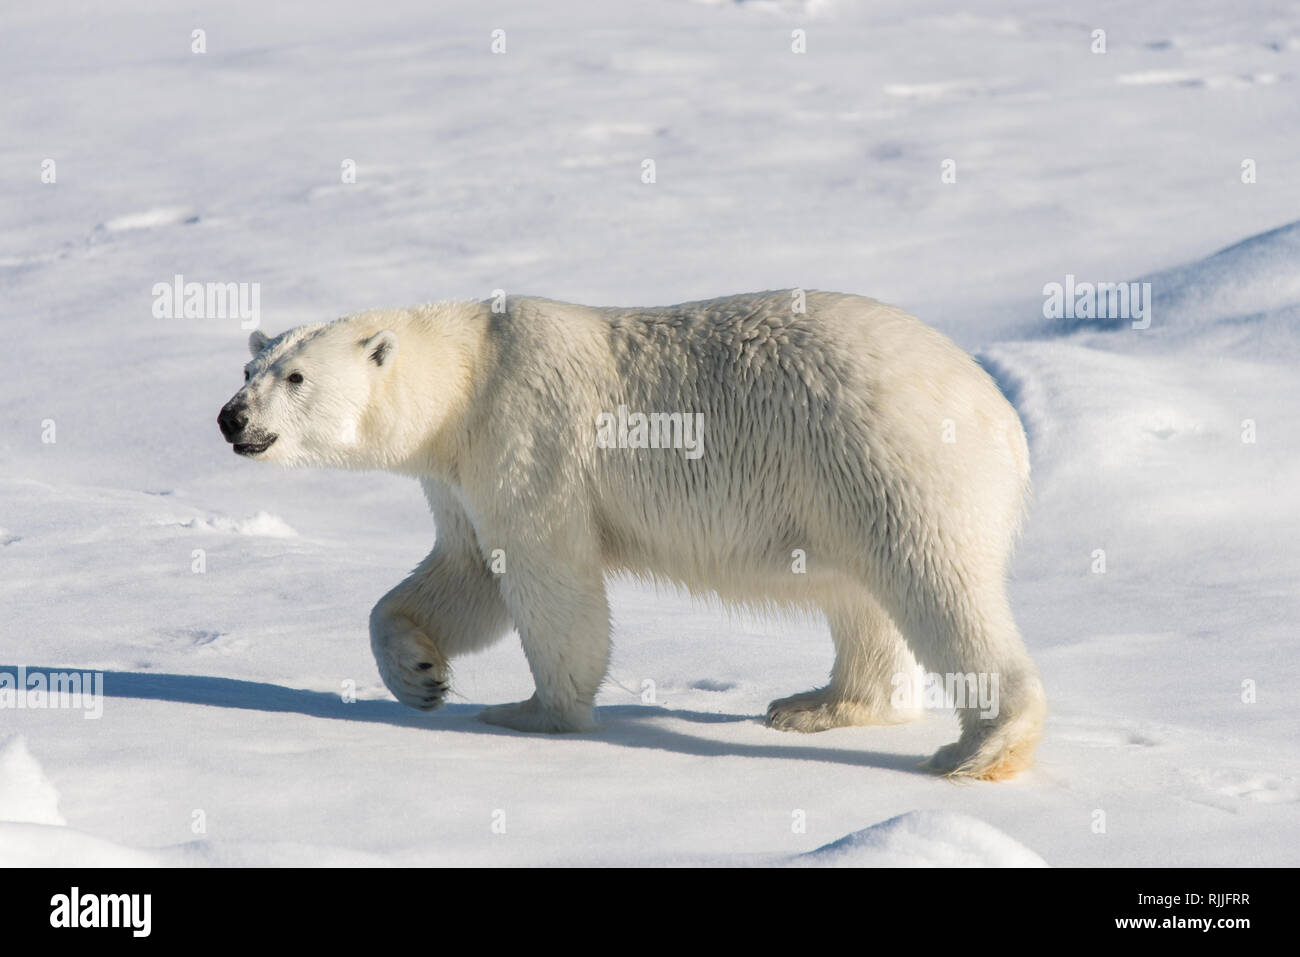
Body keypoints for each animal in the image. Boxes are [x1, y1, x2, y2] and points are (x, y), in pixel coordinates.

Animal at [217, 290, 1046, 780]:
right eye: (250, 365)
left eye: (294, 377)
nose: (230, 416)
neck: (469, 372)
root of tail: (1002, 416)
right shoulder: (455, 474)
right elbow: (465, 571)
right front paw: (420, 673)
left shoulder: (524, 432)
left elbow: (548, 574)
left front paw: (532, 712)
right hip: (839, 488)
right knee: (859, 597)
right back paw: (819, 704)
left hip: (889, 455)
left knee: (938, 586)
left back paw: (981, 748)